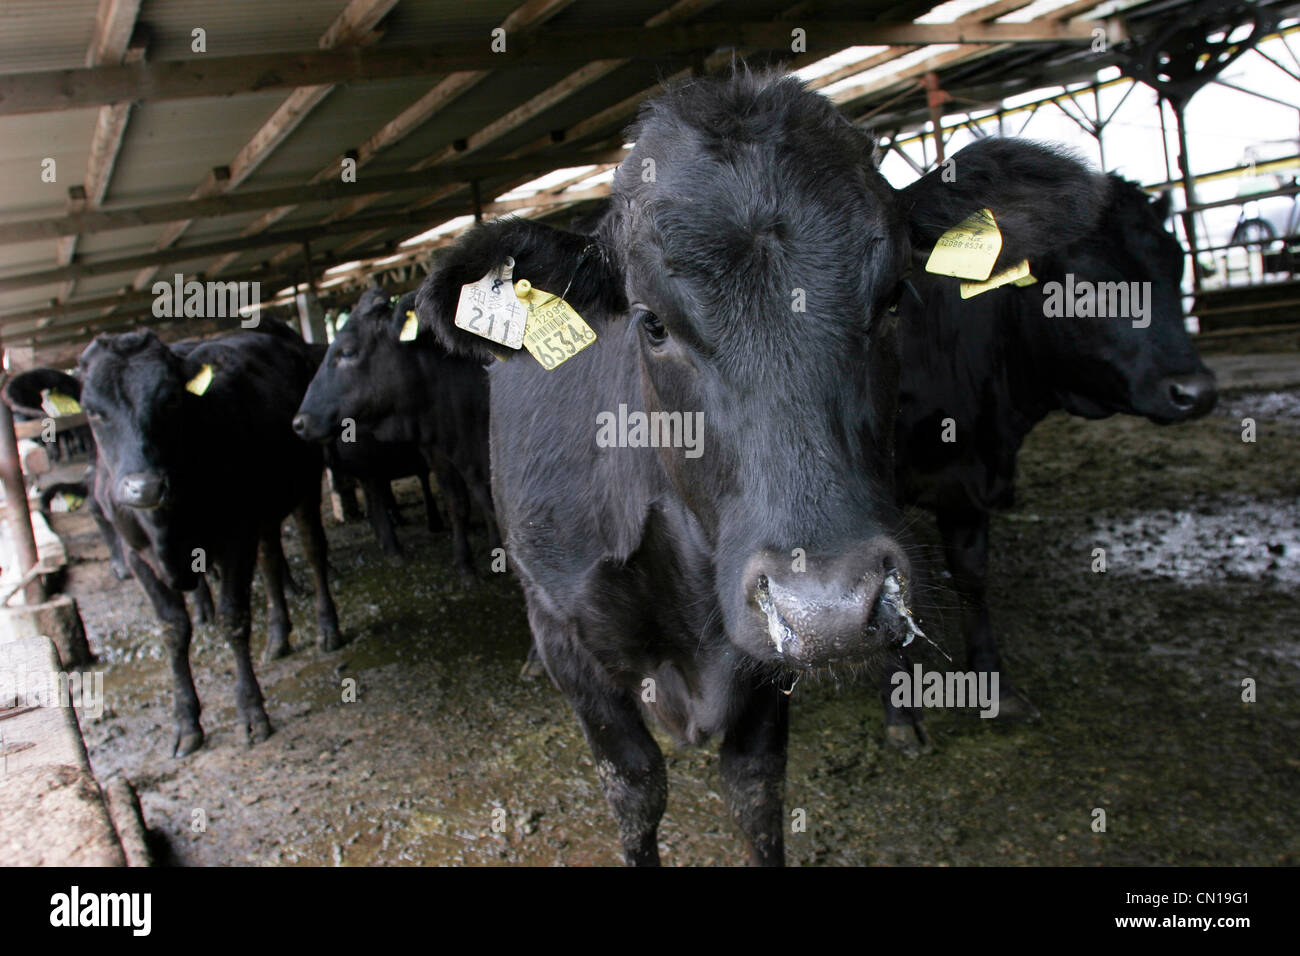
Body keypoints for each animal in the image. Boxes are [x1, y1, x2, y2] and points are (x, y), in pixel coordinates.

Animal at [78, 327, 345, 756]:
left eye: (170, 398)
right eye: (93, 411)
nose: (143, 487)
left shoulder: (234, 535)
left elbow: (233, 619)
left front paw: (251, 712)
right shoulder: (137, 556)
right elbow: (173, 630)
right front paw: (186, 721)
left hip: (305, 481)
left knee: (313, 549)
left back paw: (326, 628)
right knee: (271, 562)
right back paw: (278, 636)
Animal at [407, 71, 1111, 865]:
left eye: (893, 297)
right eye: (652, 322)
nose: (828, 607)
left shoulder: (764, 666)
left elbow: (756, 792)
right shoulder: (569, 636)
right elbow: (634, 789)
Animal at [884, 168, 1218, 749]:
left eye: (1176, 263)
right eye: (1084, 281)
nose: (1194, 391)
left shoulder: (967, 482)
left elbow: (972, 575)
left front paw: (994, 684)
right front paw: (900, 712)